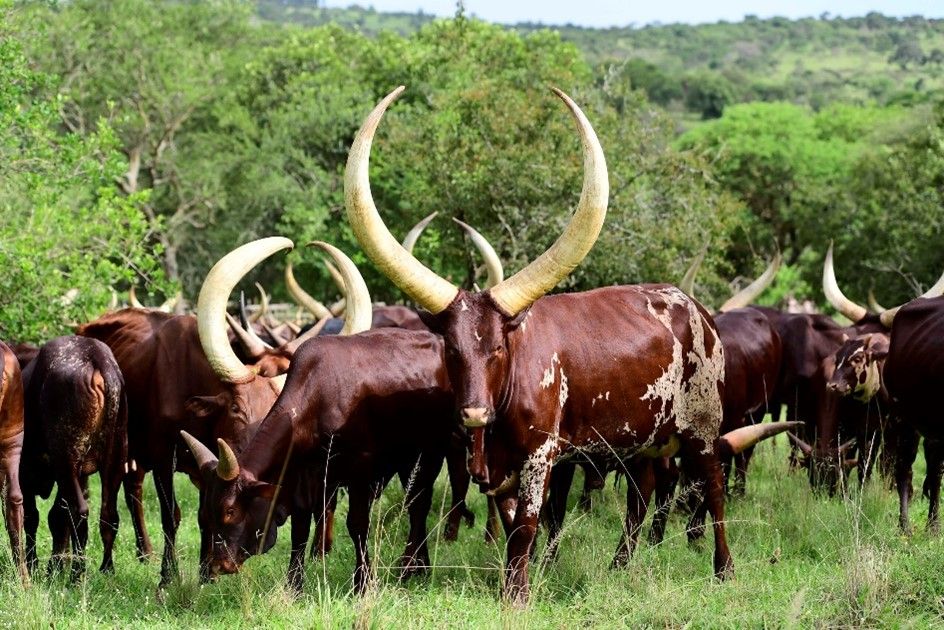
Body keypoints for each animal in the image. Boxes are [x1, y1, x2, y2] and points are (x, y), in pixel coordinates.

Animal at [20, 336, 128, 581]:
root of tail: (97, 356)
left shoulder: (24, 472)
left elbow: (32, 517)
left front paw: (34, 565)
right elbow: (57, 517)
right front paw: (54, 566)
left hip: (66, 460)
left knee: (80, 512)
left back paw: (77, 574)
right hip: (115, 457)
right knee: (108, 515)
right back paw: (106, 569)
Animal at [181, 242, 458, 594]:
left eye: (229, 510)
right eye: (206, 512)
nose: (219, 565)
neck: (317, 396)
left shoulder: (359, 471)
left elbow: (357, 524)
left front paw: (362, 582)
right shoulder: (306, 476)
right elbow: (300, 528)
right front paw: (294, 584)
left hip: (430, 453)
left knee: (419, 504)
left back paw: (414, 567)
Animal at [342, 86, 798, 605]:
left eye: (498, 348)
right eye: (451, 350)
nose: (474, 414)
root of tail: (697, 309)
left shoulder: (541, 456)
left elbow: (527, 525)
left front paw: (517, 596)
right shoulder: (497, 471)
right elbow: (512, 526)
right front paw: (516, 581)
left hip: (702, 426)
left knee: (715, 487)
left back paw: (724, 569)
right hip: (643, 439)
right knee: (640, 497)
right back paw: (620, 565)